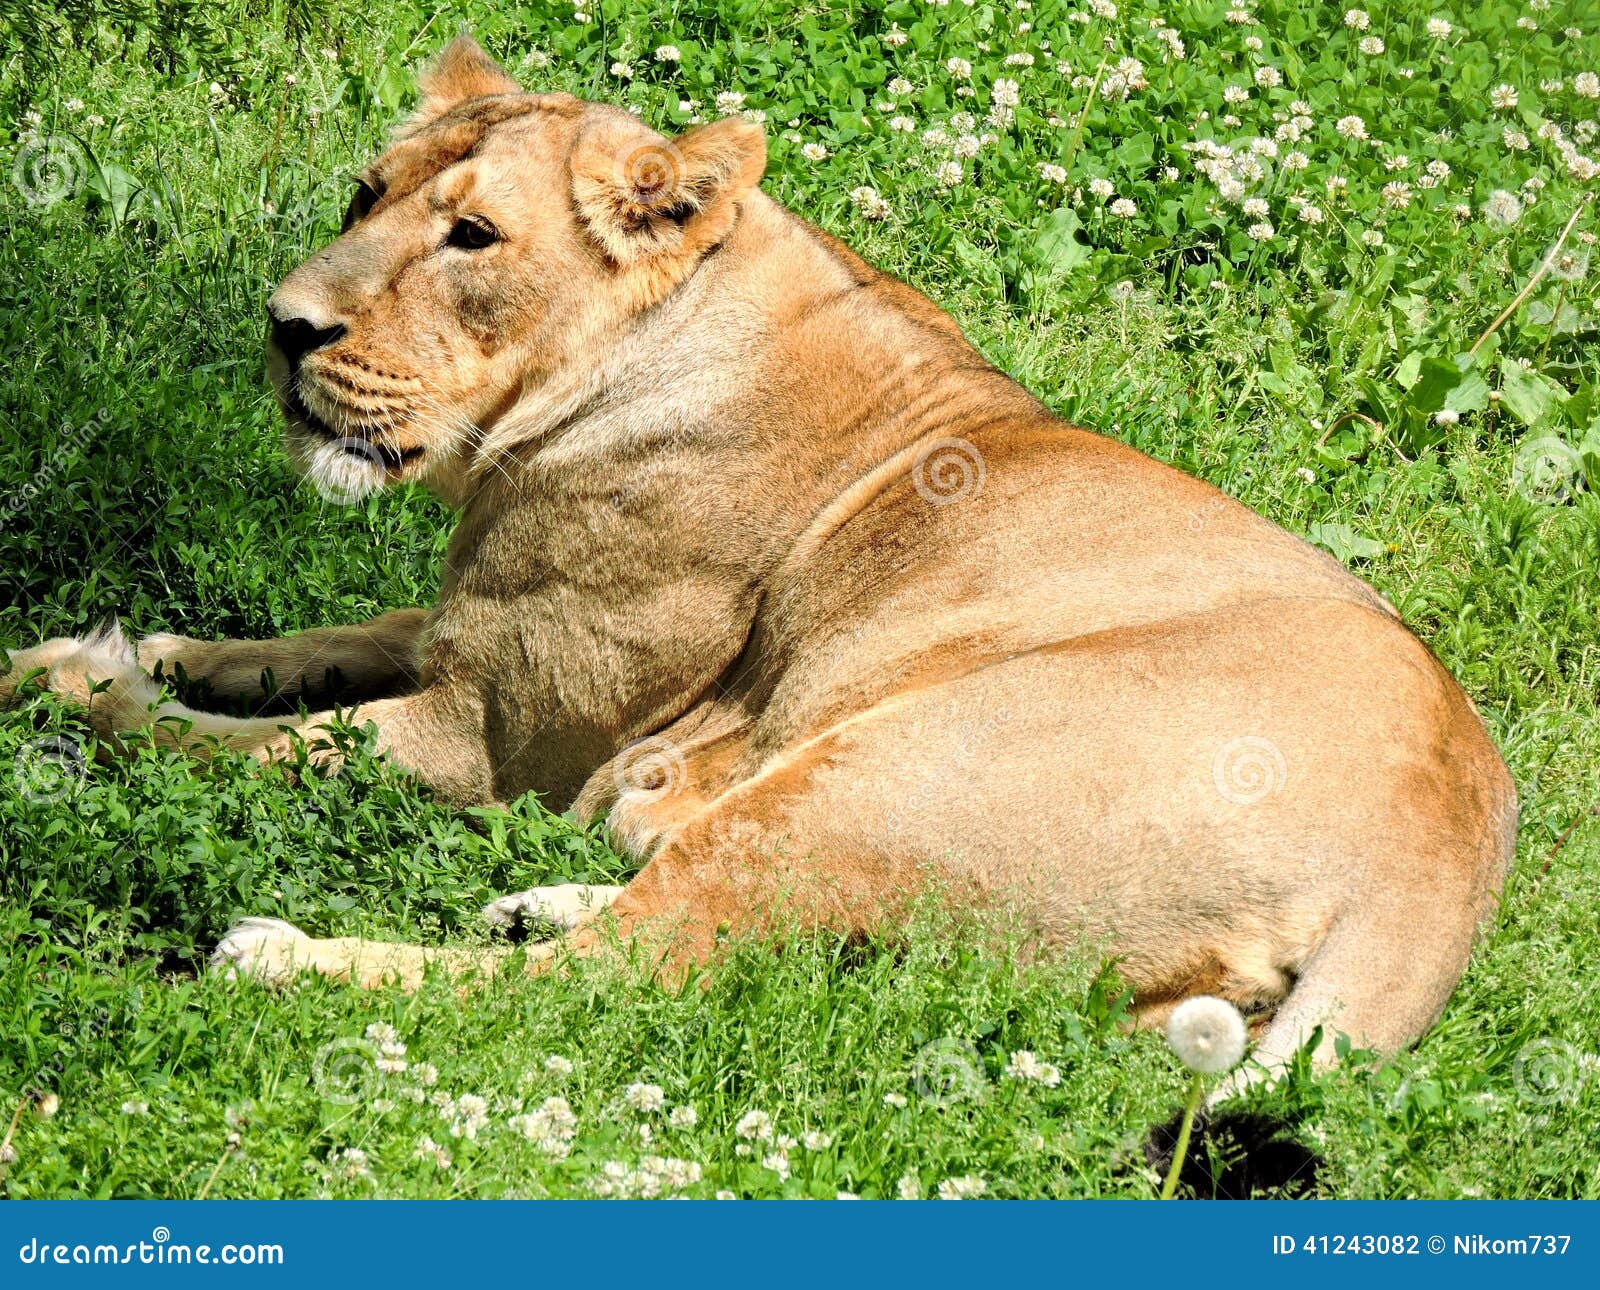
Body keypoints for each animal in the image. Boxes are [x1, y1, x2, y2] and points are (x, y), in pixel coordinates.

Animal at [3, 37, 1515, 1096]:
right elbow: (322, 635)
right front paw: (138, 645)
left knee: (604, 982)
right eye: (363, 194)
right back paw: (544, 891)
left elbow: (215, 744)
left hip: (881, 771)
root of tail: (1449, 844)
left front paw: (71, 688)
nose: (284, 324)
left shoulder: (476, 736)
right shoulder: (455, 638)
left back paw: (286, 954)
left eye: (472, 236)